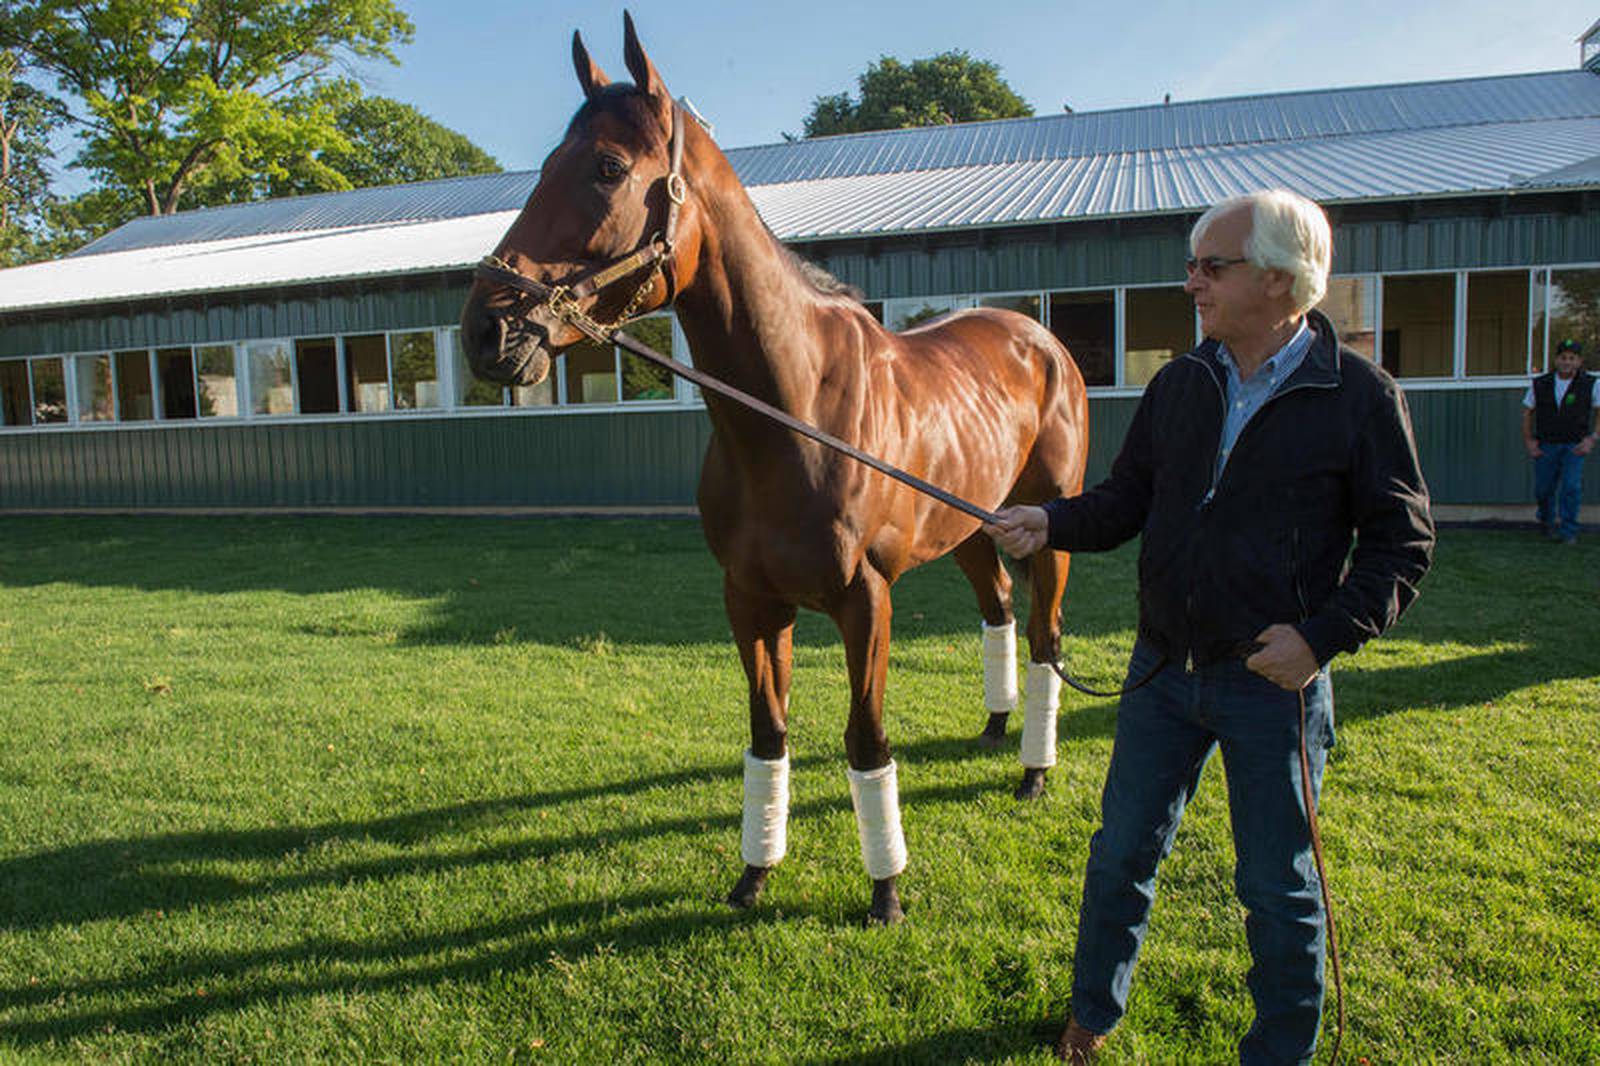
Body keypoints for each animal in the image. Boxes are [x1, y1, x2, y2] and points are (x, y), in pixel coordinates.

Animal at [459, 14, 1089, 925]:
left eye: (607, 168)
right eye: (545, 165)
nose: (485, 329)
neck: (794, 416)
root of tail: (1039, 340)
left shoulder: (866, 601)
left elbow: (866, 743)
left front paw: (885, 892)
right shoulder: (751, 601)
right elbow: (769, 736)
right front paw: (754, 875)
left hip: (1049, 532)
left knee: (1044, 637)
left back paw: (1033, 771)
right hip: (972, 531)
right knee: (998, 612)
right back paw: (996, 726)